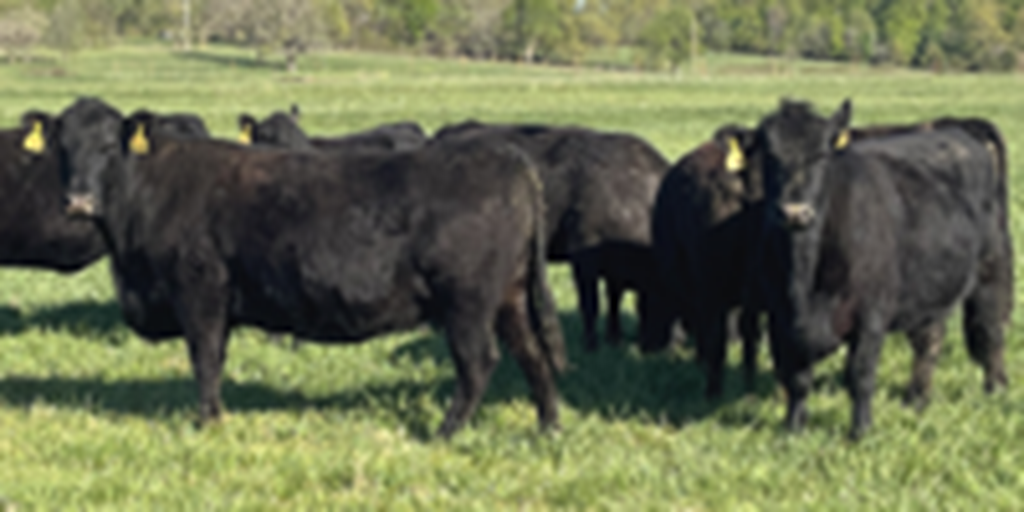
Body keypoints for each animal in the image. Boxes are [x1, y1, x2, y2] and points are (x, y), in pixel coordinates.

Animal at [435, 121, 671, 351]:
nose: (659, 345)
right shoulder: (583, 257)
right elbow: (590, 303)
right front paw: (591, 344)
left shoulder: (614, 268)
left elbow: (614, 298)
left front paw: (614, 338)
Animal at [750, 99, 1011, 439]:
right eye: (769, 156)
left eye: (822, 154)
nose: (794, 212)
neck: (804, 278)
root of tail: (958, 126)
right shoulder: (780, 318)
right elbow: (797, 378)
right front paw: (793, 428)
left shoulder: (871, 315)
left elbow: (859, 375)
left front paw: (861, 431)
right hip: (931, 285)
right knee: (930, 340)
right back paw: (917, 398)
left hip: (991, 266)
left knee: (989, 329)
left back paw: (996, 388)